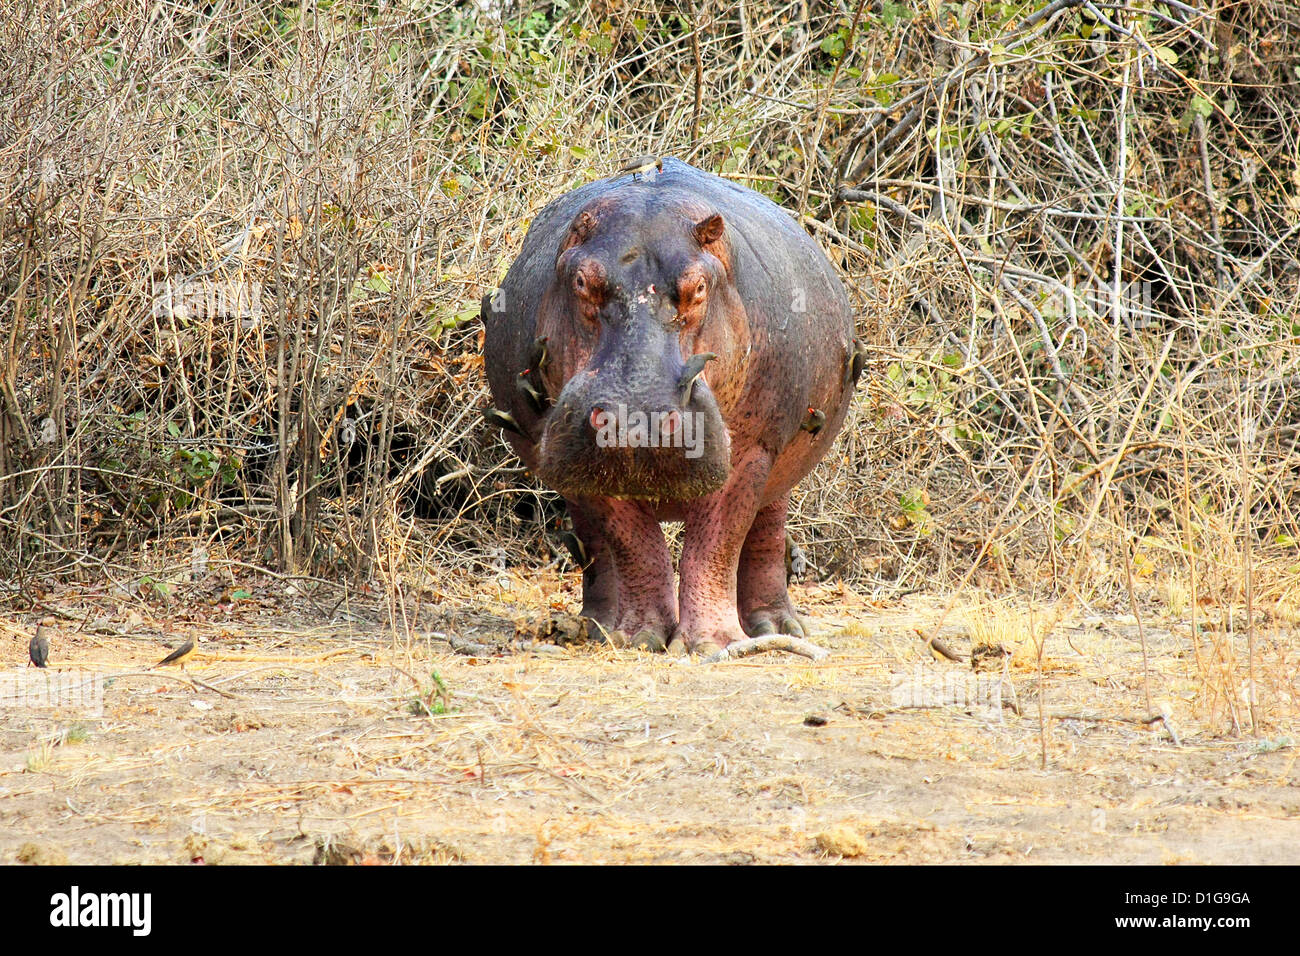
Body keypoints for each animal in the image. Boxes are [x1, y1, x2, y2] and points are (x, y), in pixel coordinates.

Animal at [483, 160, 857, 655]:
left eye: (699, 287)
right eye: (581, 281)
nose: (636, 417)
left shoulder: (752, 452)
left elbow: (718, 541)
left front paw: (712, 644)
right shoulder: (588, 465)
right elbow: (632, 543)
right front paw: (638, 637)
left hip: (785, 456)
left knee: (766, 532)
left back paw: (778, 628)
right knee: (594, 547)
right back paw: (596, 627)